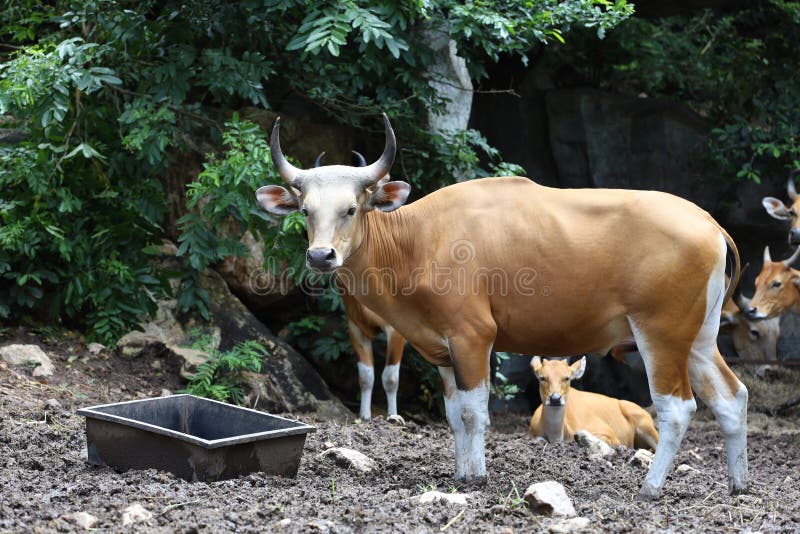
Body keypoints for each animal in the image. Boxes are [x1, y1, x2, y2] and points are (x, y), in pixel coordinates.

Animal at [315, 151, 407, 422]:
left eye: (351, 209)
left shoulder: (396, 330)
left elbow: (390, 377)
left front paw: (392, 416)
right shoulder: (355, 326)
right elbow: (366, 375)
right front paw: (364, 416)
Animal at [529, 356, 658, 450]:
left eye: (567, 378)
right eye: (542, 377)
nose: (555, 398)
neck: (557, 435)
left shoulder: (609, 433)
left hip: (645, 424)